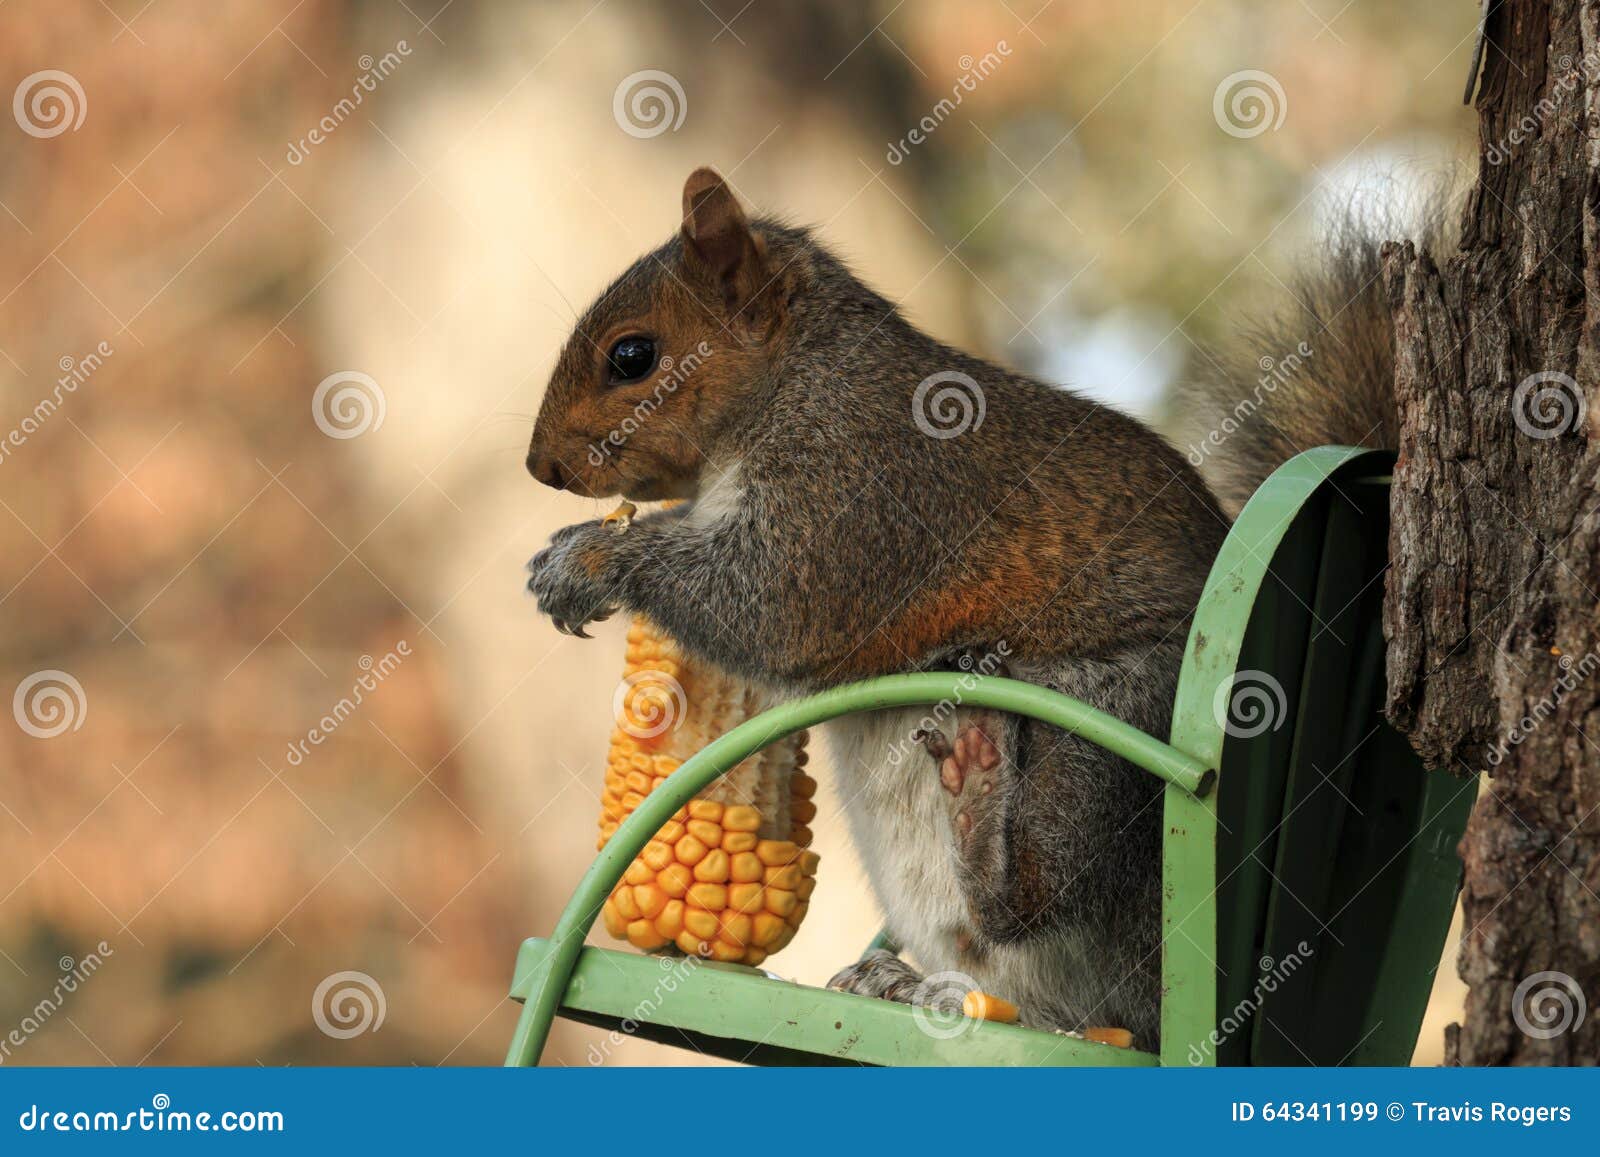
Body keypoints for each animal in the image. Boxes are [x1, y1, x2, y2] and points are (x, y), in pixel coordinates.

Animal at [523, 166, 1406, 1047]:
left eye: (632, 356)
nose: (542, 468)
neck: (794, 378)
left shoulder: (857, 488)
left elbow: (771, 603)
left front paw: (588, 561)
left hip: (1107, 732)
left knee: (1037, 892)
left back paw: (982, 795)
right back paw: (903, 980)